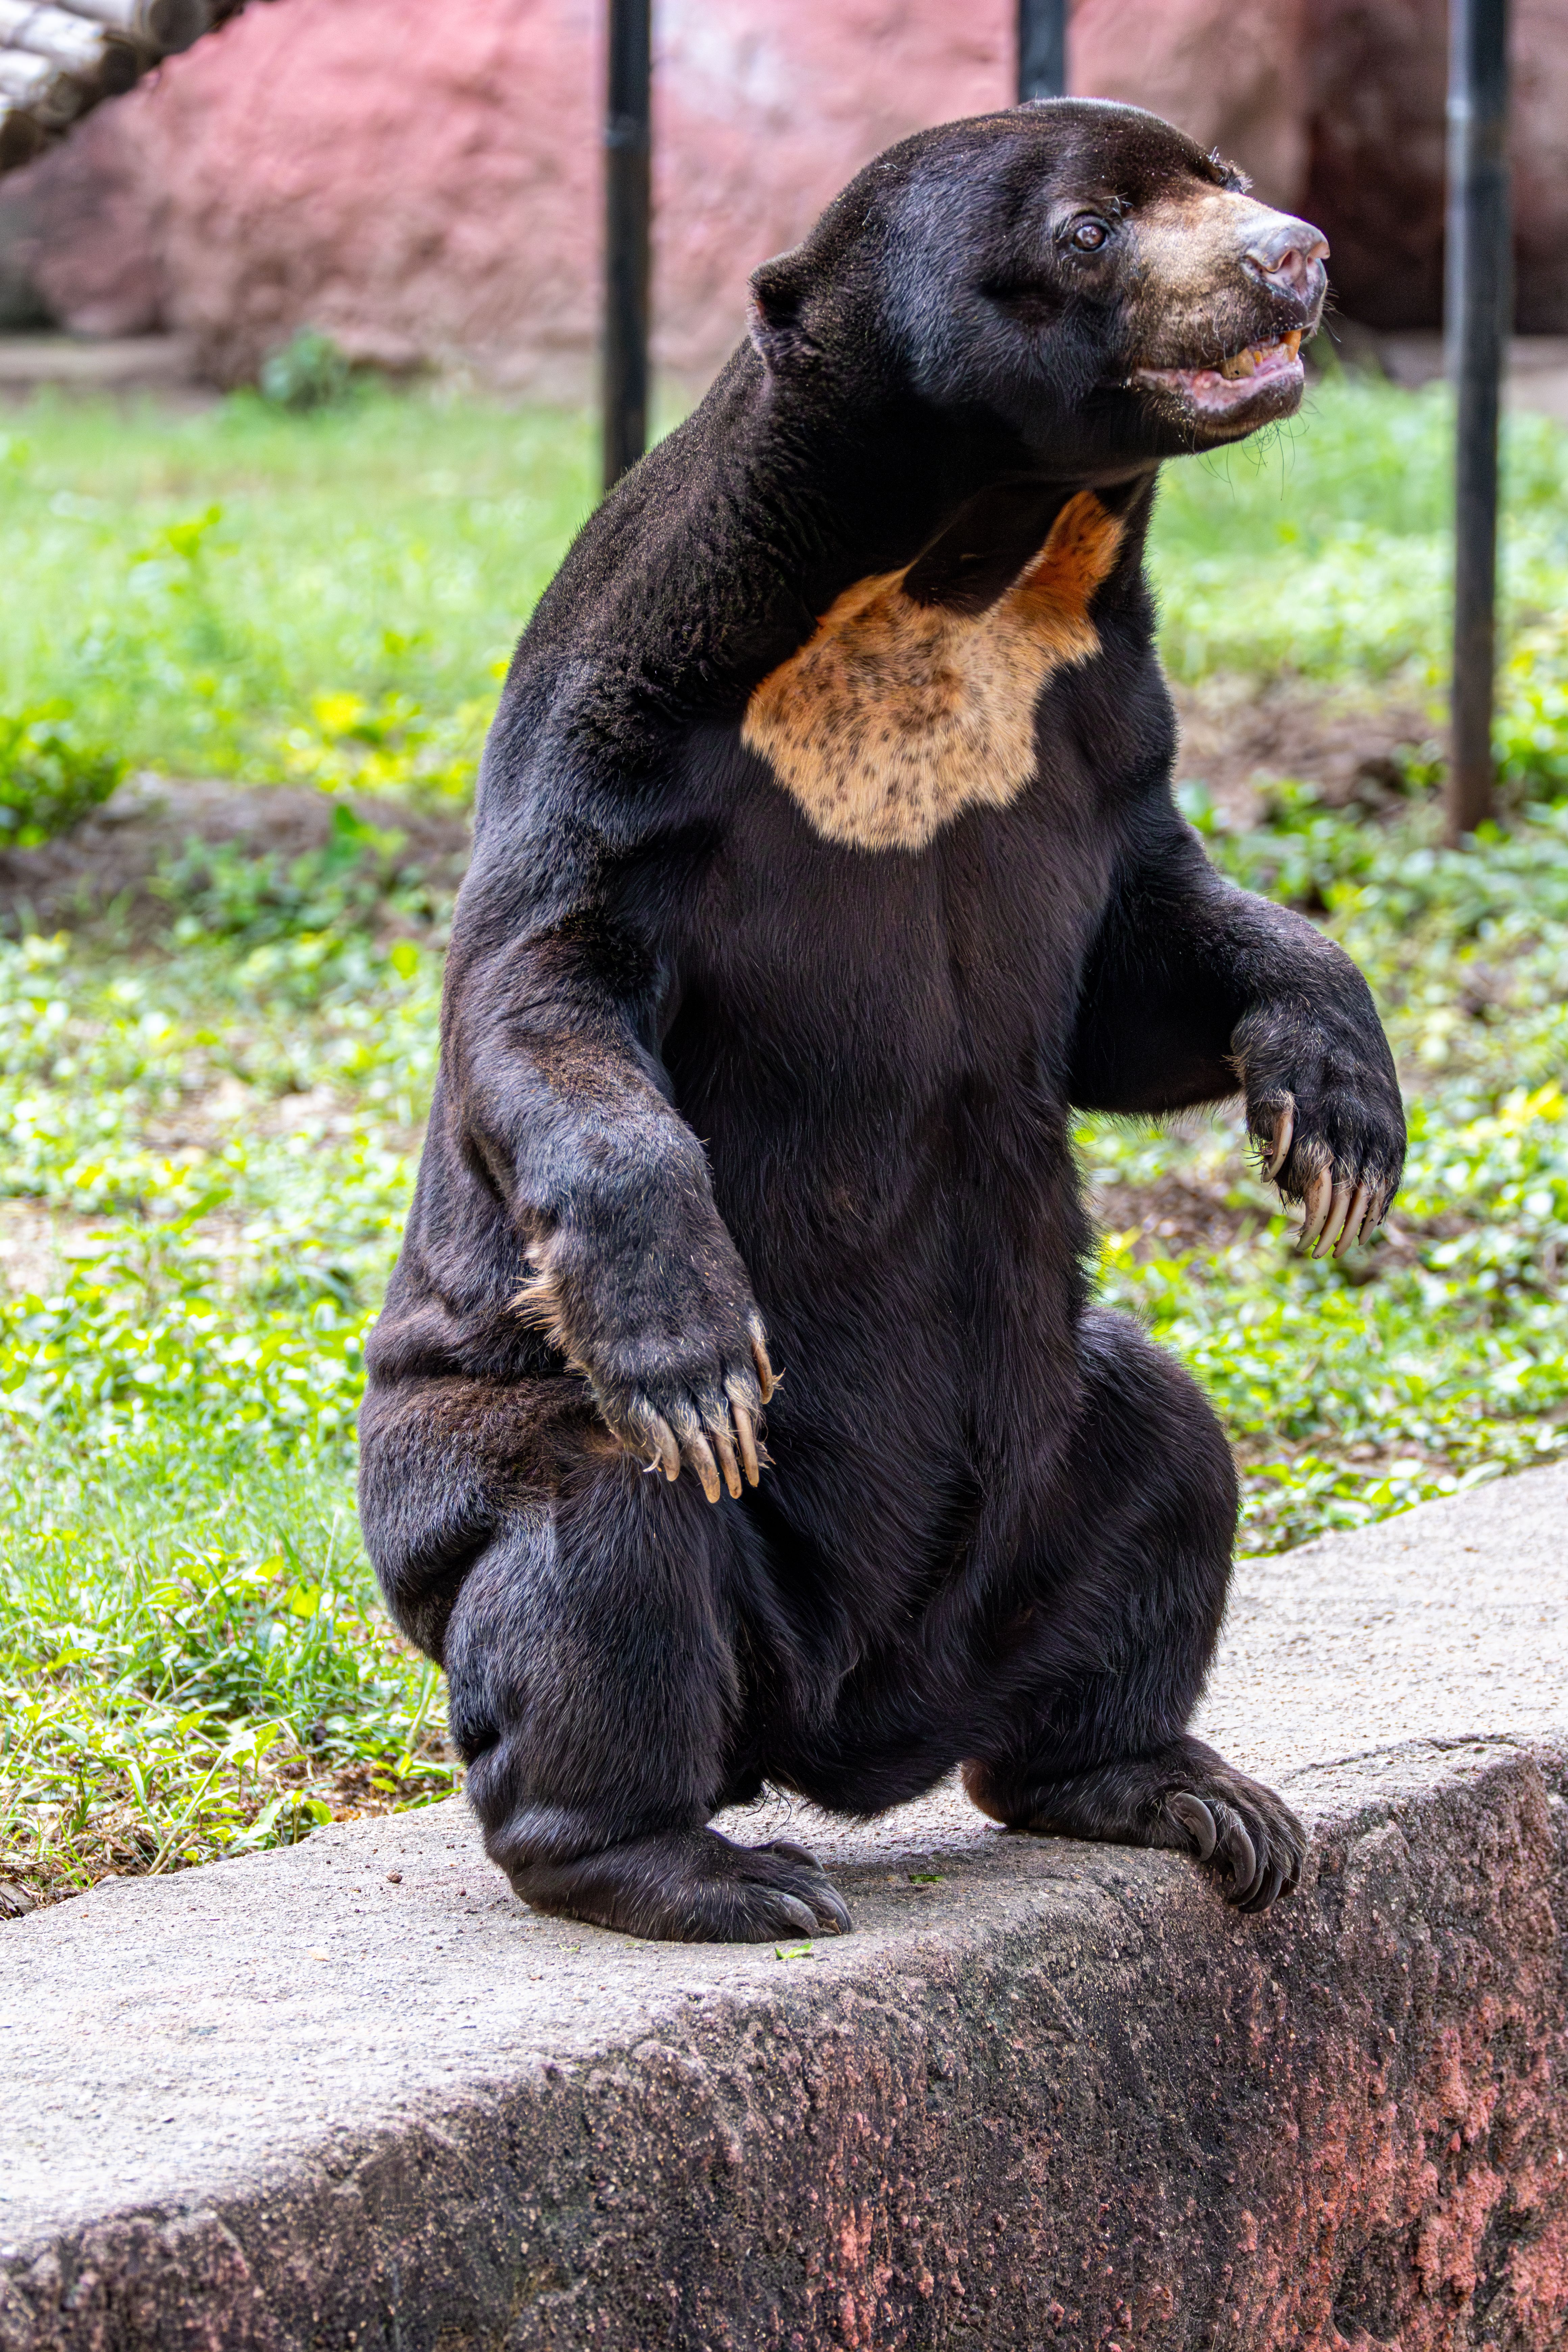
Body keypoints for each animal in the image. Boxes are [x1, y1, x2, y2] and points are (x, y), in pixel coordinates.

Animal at [358, 98, 1407, 1943]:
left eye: (1218, 176)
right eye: (1085, 229)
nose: (1295, 255)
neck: (956, 578)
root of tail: (842, 1725)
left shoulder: (1088, 727)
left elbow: (1139, 968)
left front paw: (1337, 1125)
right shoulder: (637, 730)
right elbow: (544, 990)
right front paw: (691, 1331)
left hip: (1051, 1440)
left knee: (1165, 1460)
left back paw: (1175, 1792)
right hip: (478, 1475)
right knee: (602, 1555)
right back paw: (702, 1870)